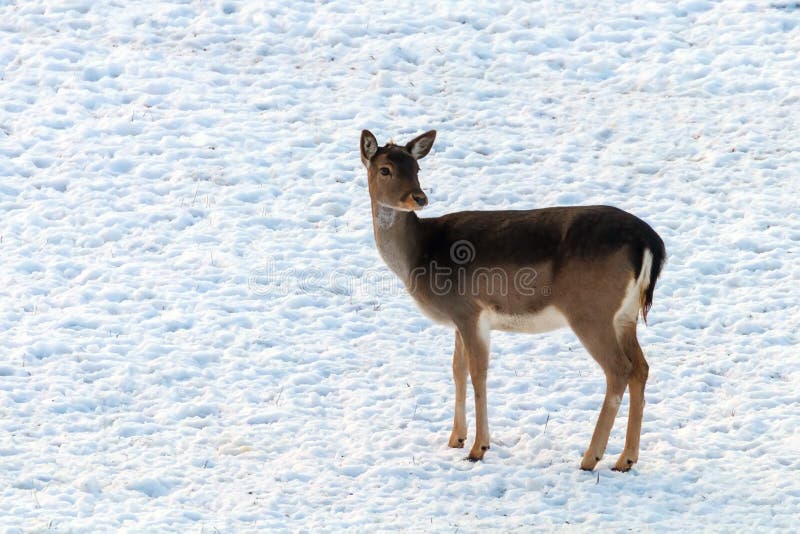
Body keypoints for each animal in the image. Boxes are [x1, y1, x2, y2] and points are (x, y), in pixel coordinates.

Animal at [359, 129, 665, 471]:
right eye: (386, 169)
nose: (420, 198)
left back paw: (590, 458)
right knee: (641, 368)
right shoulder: (458, 318)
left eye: (416, 167)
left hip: (590, 312)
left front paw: (478, 448)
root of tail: (649, 242)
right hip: (625, 315)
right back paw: (626, 459)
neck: (420, 255)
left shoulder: (469, 310)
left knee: (618, 369)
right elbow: (457, 369)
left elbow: (478, 372)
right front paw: (456, 439)